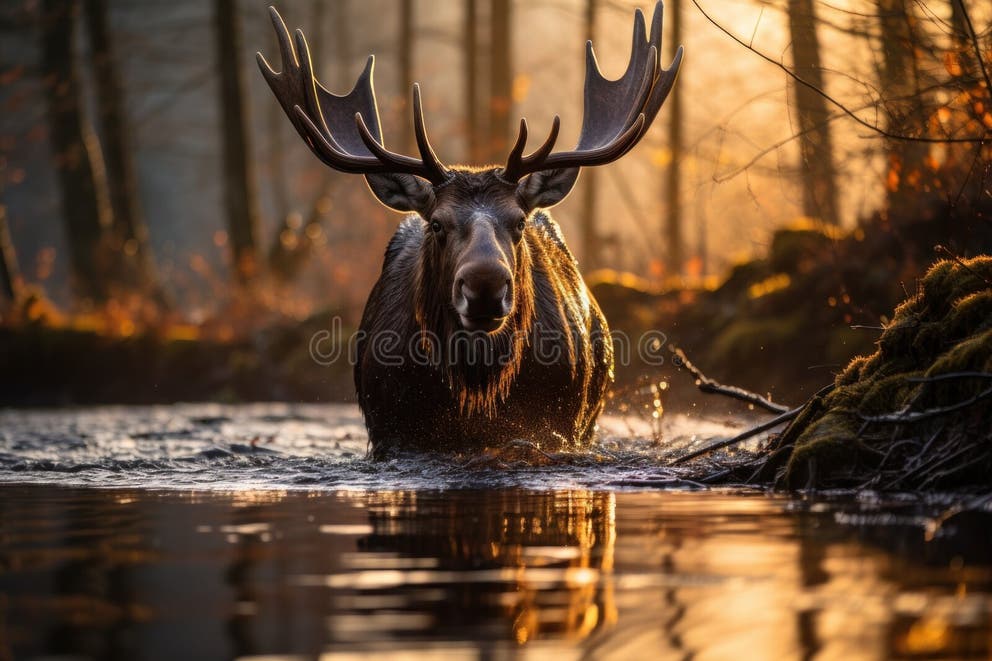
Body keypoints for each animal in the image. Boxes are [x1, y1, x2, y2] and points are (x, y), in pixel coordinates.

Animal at [258, 2, 682, 457]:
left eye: (518, 221)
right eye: (437, 223)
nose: (485, 284)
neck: (476, 395)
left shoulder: (561, 427)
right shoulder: (390, 433)